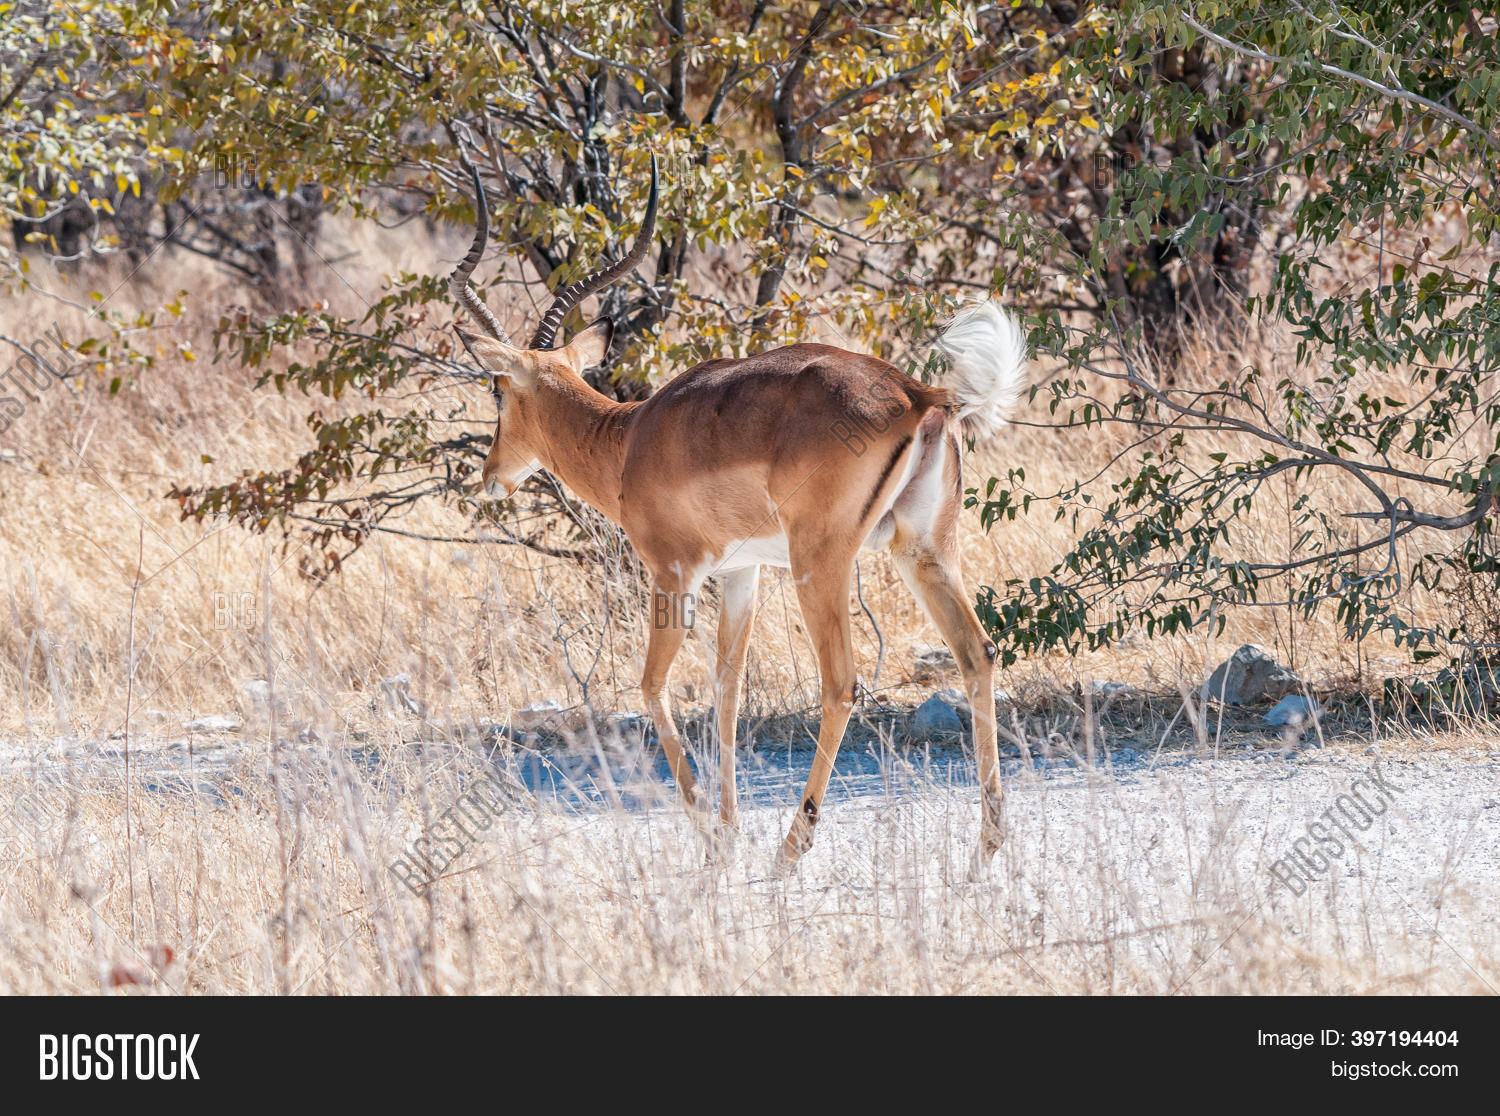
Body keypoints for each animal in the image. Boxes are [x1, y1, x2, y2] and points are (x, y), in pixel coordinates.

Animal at [448, 152, 1027, 871]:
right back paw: (985, 848)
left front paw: (706, 828)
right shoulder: (741, 574)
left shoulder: (672, 573)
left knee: (841, 682)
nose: (490, 474)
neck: (627, 441)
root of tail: (920, 394)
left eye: (498, 390)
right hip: (923, 551)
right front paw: (725, 831)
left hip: (821, 562)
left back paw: (790, 850)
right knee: (978, 654)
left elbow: (651, 685)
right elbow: (726, 692)